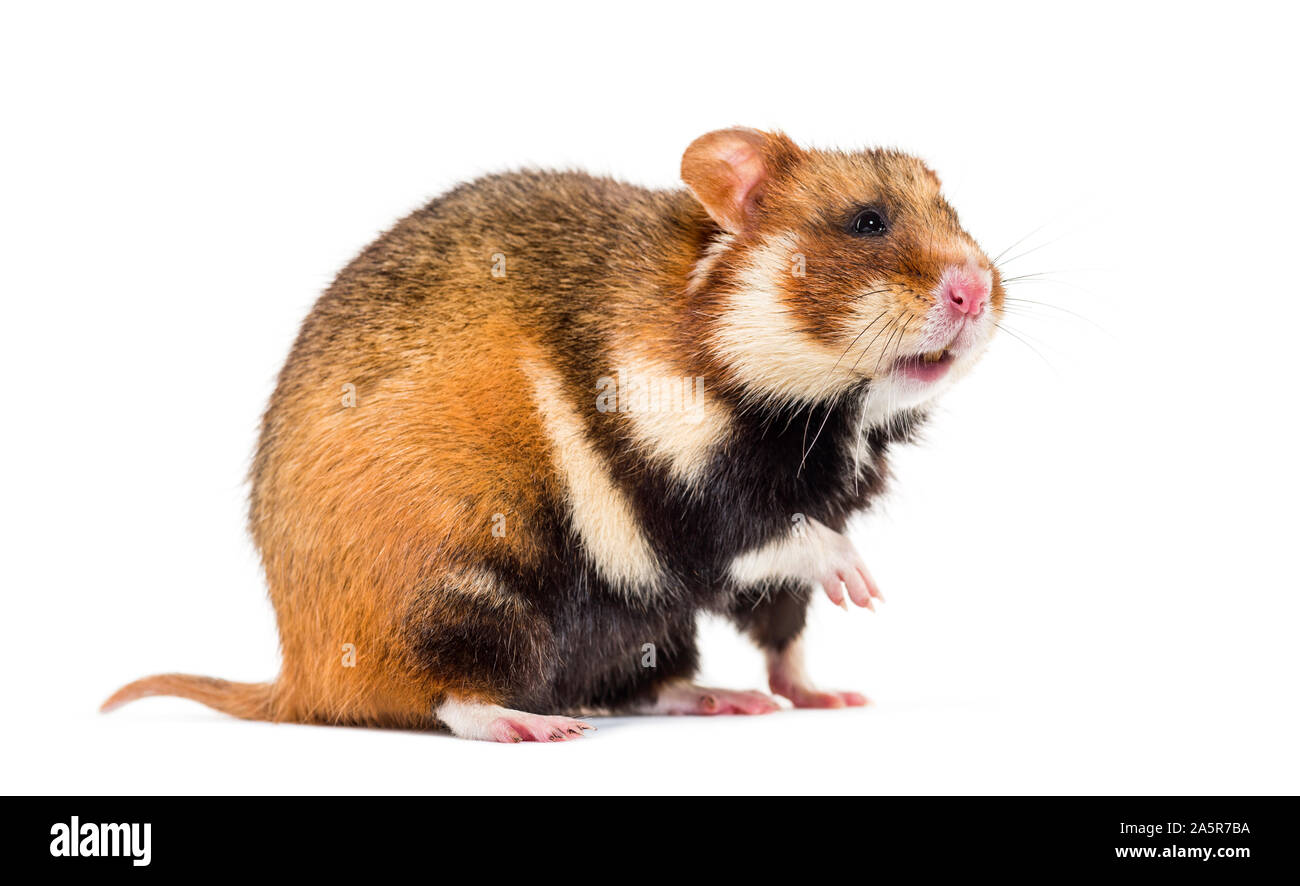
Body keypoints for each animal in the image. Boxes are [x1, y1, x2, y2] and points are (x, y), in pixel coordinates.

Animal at [102, 128, 1003, 742]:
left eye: (952, 208)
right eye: (867, 222)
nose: (975, 290)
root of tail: (295, 678)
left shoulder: (775, 553)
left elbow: (786, 632)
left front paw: (830, 695)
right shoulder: (686, 497)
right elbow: (791, 541)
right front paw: (863, 582)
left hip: (647, 628)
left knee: (647, 680)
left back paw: (720, 698)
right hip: (471, 597)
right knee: (443, 696)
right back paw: (527, 725)